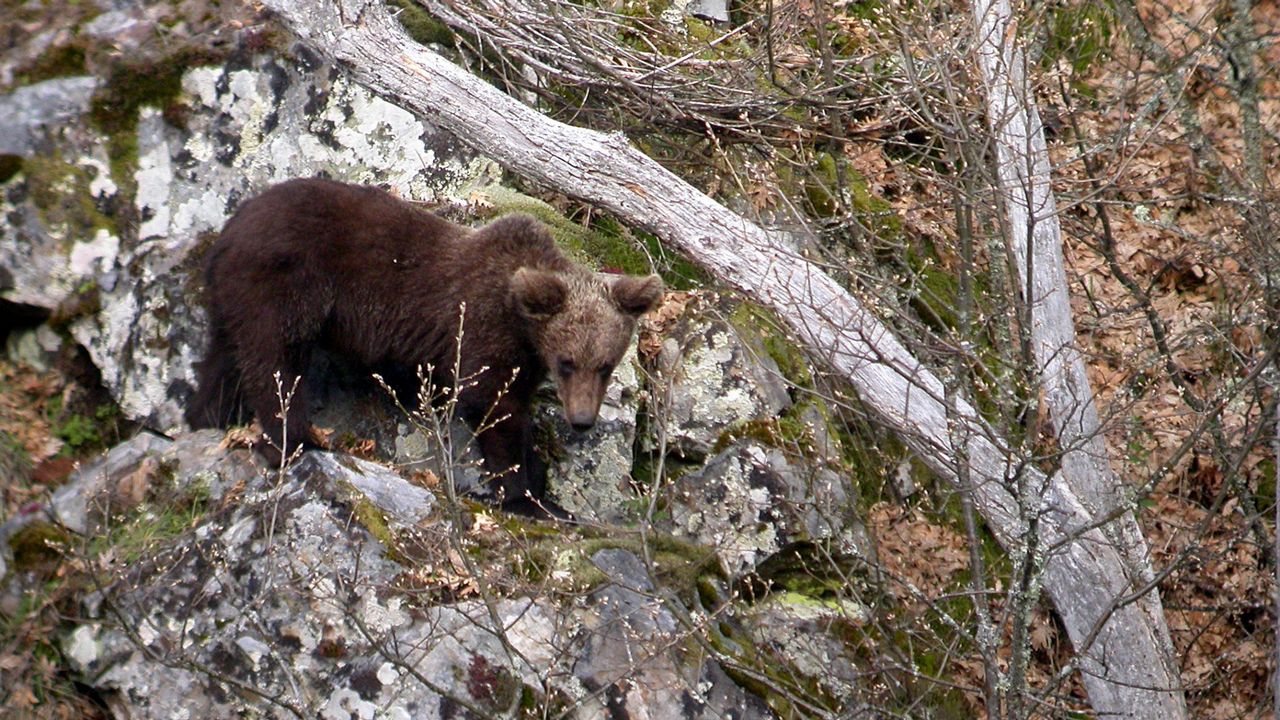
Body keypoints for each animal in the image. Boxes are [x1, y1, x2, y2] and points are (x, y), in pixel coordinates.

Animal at [185, 177, 663, 515]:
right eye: (567, 362)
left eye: (605, 365)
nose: (582, 421)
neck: (523, 326)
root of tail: (229, 229)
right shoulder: (480, 330)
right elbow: (492, 407)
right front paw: (526, 497)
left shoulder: (523, 357)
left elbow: (515, 406)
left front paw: (545, 495)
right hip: (284, 283)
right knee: (275, 361)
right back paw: (297, 440)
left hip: (231, 298)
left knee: (223, 360)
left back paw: (209, 417)